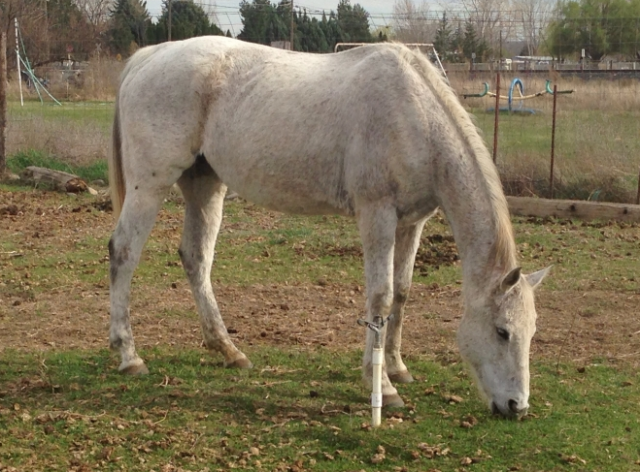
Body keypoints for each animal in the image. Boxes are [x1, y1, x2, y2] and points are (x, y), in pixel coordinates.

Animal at [108, 36, 550, 417]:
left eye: (531, 333)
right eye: (502, 332)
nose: (517, 407)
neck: (415, 115)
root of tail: (148, 56)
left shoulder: (412, 222)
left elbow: (402, 293)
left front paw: (396, 367)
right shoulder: (376, 214)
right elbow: (380, 298)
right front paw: (382, 386)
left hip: (205, 185)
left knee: (196, 259)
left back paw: (228, 350)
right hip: (150, 185)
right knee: (123, 253)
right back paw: (129, 356)